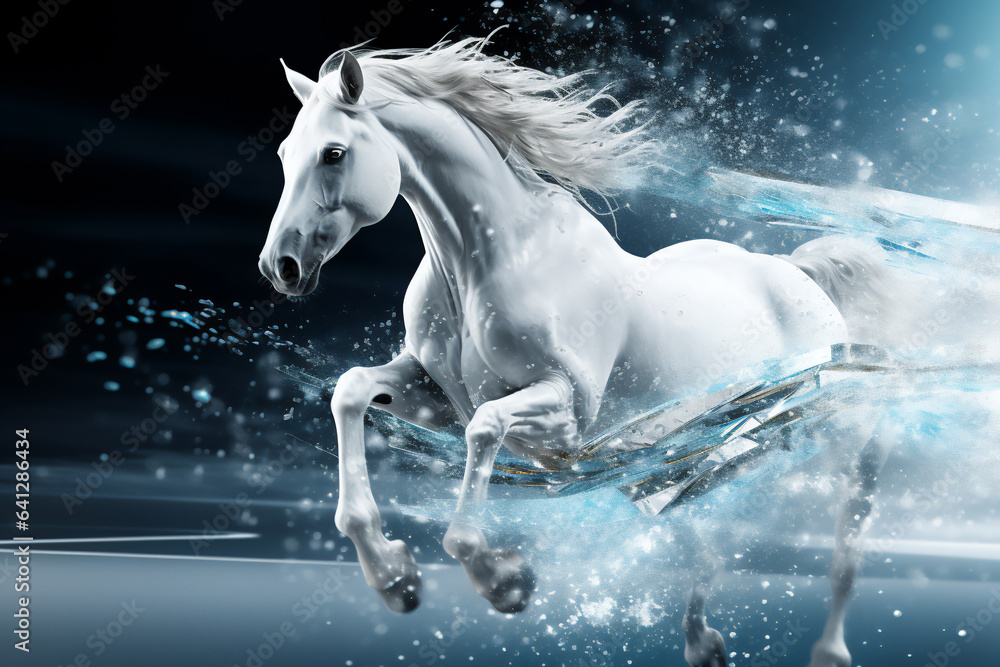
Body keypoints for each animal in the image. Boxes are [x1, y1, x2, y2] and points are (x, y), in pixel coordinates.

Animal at [257, 36, 893, 667]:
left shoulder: (566, 416)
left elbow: (485, 431)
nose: (279, 267)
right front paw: (394, 577)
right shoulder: (434, 391)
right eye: (285, 152)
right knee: (706, 528)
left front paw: (504, 581)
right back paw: (703, 643)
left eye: (334, 153)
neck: (490, 264)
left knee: (844, 541)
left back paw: (828, 650)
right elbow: (350, 391)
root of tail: (799, 273)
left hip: (841, 435)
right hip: (691, 455)